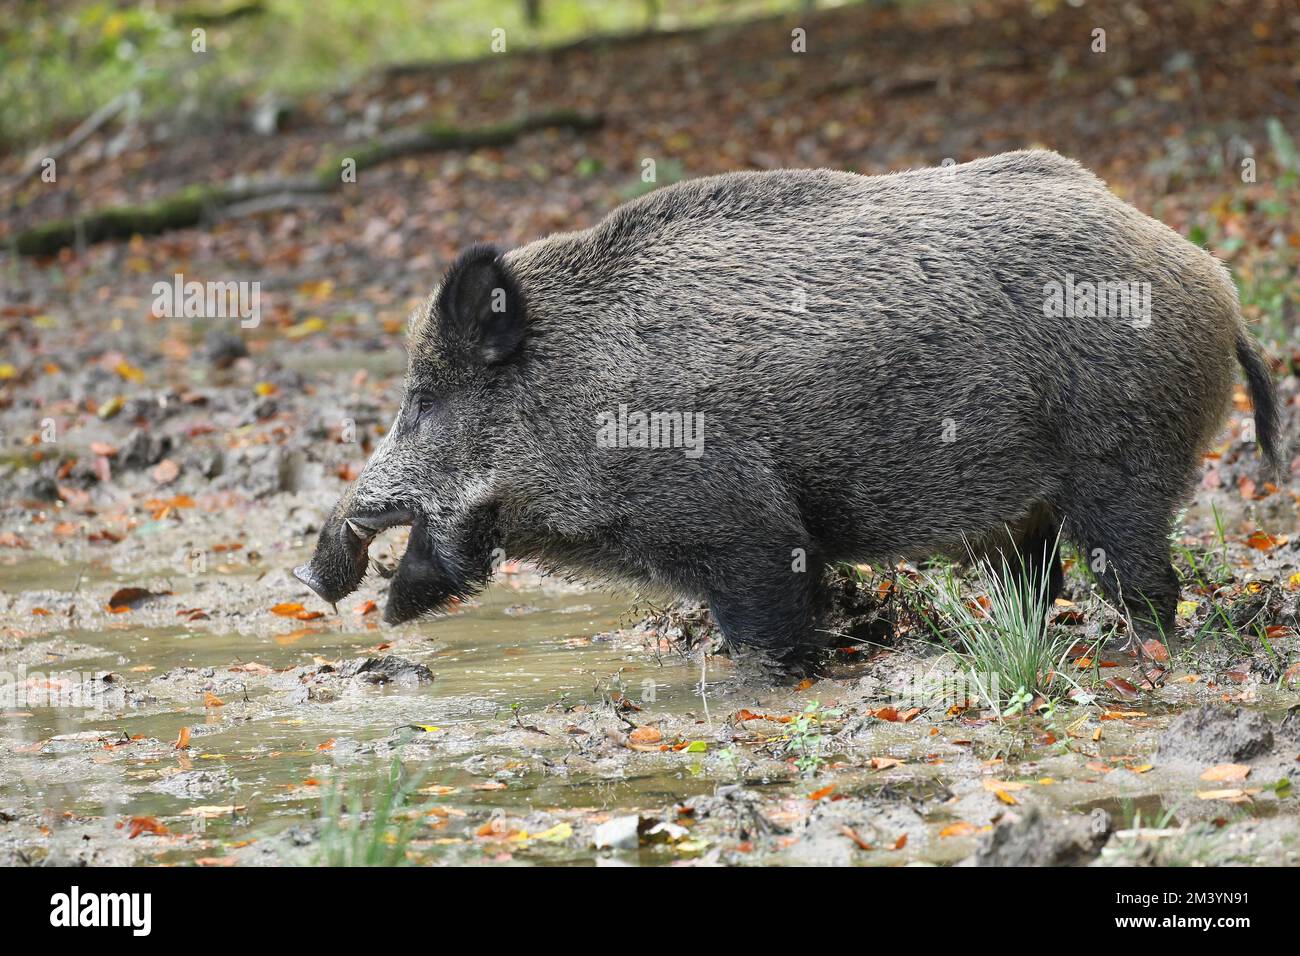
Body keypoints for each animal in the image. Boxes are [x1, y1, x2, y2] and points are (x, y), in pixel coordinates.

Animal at [294, 150, 1283, 664]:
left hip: (1125, 459)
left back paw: (1145, 654)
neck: (580, 392)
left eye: (423, 400)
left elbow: (769, 631)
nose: (309, 572)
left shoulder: (741, 525)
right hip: (1026, 503)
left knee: (1143, 579)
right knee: (1037, 581)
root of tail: (1216, 282)